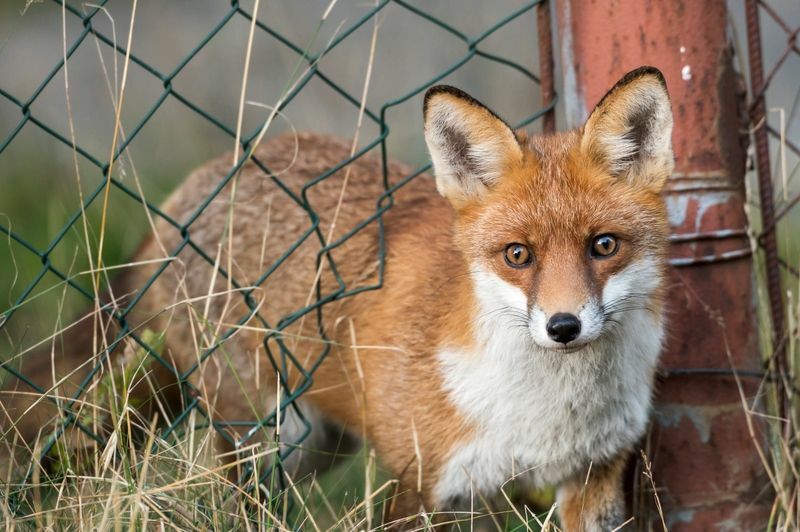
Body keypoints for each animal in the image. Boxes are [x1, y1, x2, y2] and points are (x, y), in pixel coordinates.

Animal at [3, 65, 672, 528]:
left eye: (603, 246)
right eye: (517, 255)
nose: (563, 327)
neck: (547, 416)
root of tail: (193, 192)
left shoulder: (595, 482)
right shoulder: (422, 485)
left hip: (318, 446)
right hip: (267, 440)